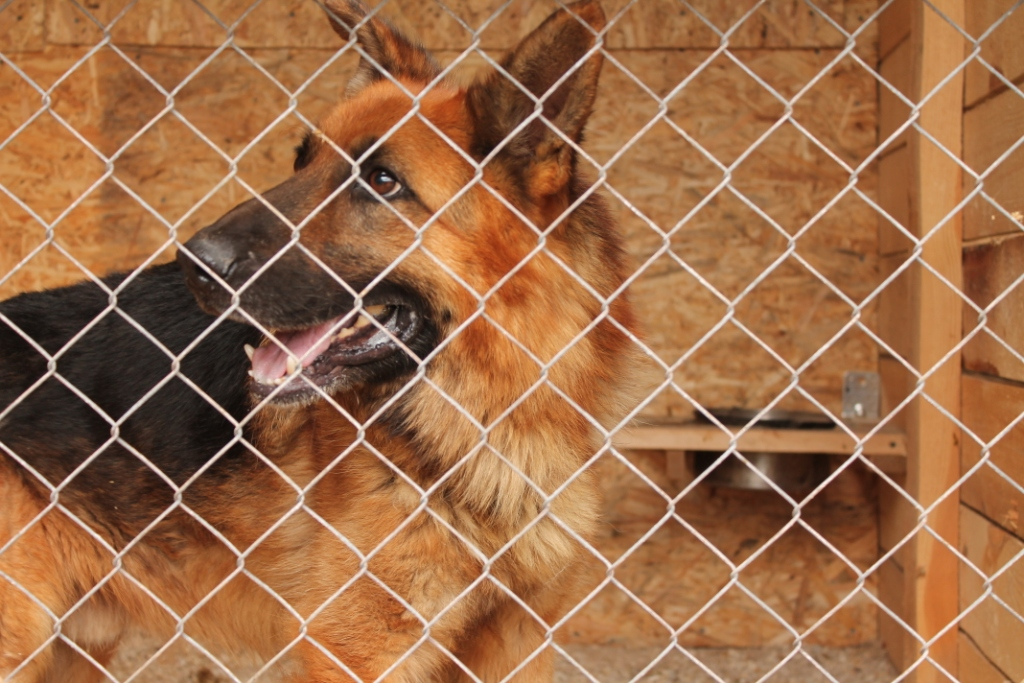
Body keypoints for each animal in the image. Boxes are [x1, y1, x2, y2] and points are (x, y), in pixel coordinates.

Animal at [2, 2, 638, 679]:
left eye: (382, 181)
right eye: (302, 161)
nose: (194, 264)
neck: (483, 425)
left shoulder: (517, 645)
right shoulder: (357, 651)